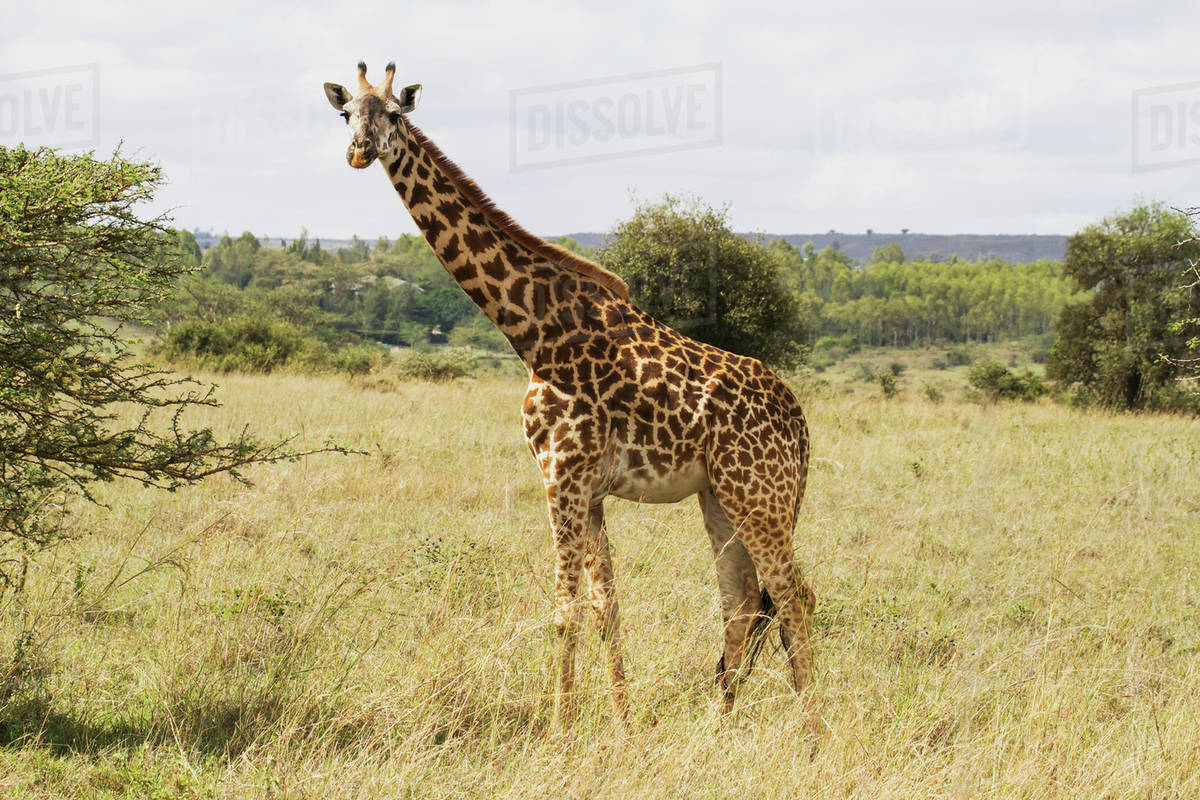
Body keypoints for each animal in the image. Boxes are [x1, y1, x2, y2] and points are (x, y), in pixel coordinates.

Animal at [324, 63, 816, 720]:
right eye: (346, 113)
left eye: (396, 115)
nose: (359, 151)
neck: (534, 332)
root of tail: (800, 424)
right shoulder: (591, 489)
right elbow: (607, 607)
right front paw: (622, 724)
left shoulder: (562, 476)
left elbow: (565, 611)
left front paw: (559, 729)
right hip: (721, 496)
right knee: (742, 601)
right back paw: (720, 726)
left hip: (760, 495)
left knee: (792, 599)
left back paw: (813, 732)